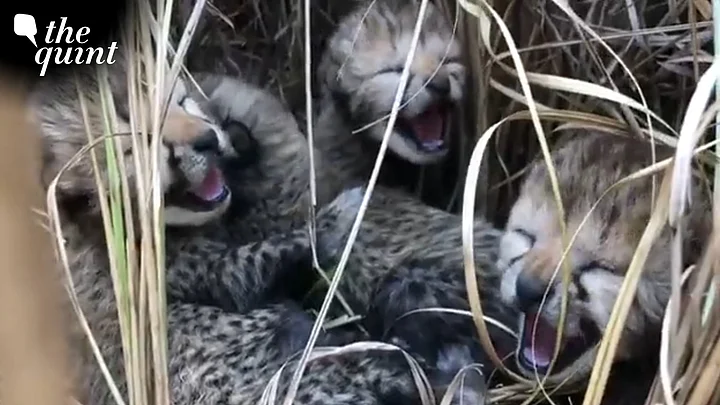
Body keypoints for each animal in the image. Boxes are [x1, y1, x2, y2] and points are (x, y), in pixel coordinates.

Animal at [29, 56, 439, 405]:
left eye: (181, 101)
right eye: (137, 146)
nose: (208, 140)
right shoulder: (192, 276)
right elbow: (261, 259)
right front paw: (339, 216)